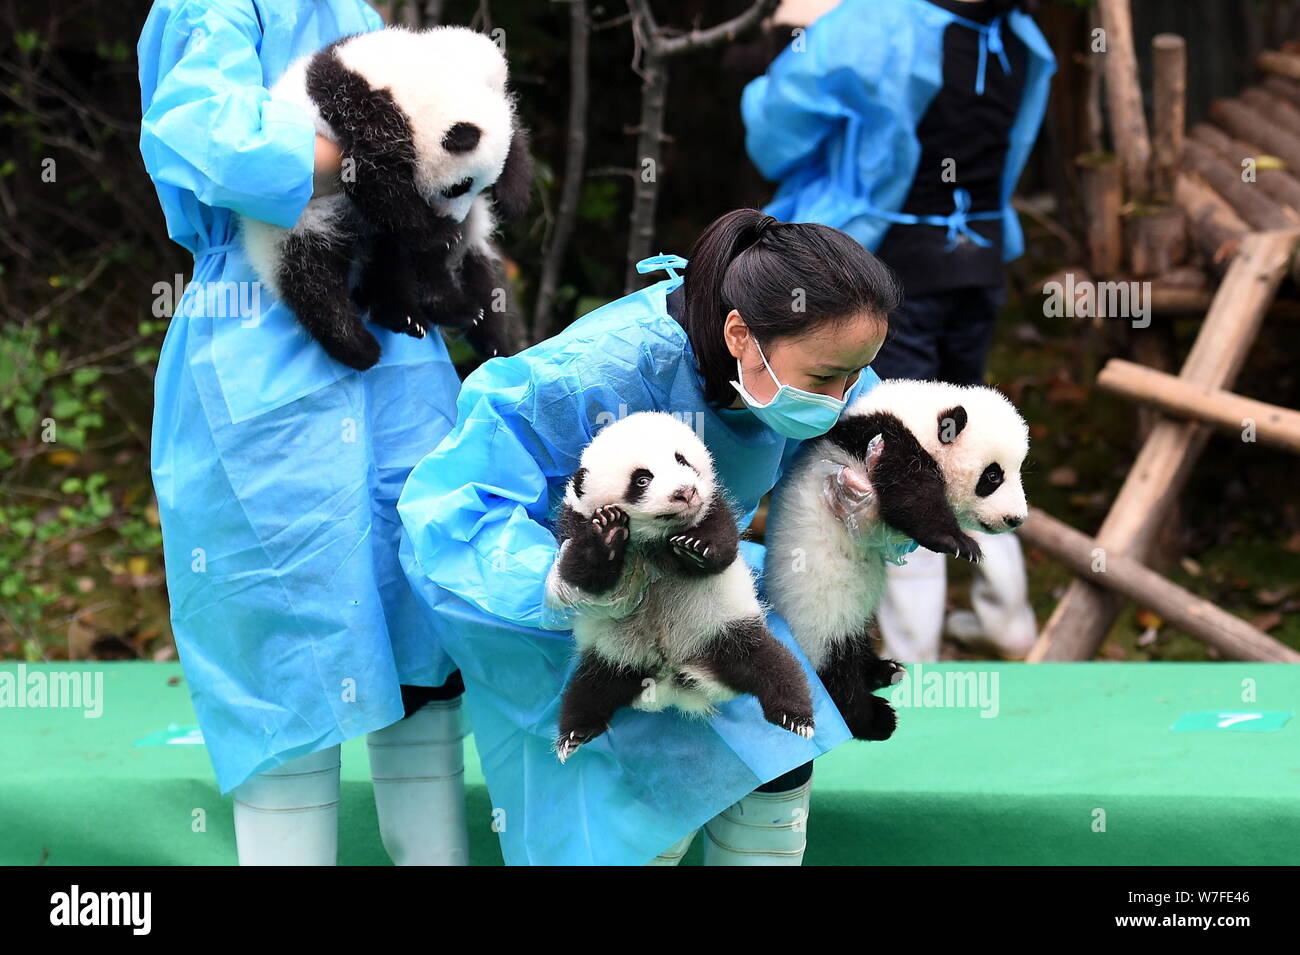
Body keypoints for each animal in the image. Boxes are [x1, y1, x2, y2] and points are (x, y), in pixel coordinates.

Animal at [238, 25, 533, 369]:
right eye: (458, 187)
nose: (453, 217)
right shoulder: (358, 111)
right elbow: (372, 178)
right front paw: (441, 231)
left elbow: (510, 124)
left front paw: (513, 196)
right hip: (292, 224)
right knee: (312, 280)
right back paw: (359, 345)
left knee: (429, 265)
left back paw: (468, 329)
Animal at [548, 411, 815, 763]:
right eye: (642, 479)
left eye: (682, 460)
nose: (686, 492)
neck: (656, 540)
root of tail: (675, 674)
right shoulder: (574, 524)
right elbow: (582, 578)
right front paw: (609, 532)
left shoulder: (713, 504)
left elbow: (722, 546)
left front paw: (695, 547)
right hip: (612, 653)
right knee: (589, 690)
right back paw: (574, 734)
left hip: (726, 631)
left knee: (772, 666)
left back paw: (795, 717)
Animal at [764, 380, 1030, 742]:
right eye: (992, 476)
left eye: (1018, 470)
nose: (1015, 518)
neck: (915, 415)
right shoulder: (885, 441)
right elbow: (909, 494)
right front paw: (959, 542)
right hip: (814, 612)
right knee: (835, 671)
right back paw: (873, 718)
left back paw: (884, 670)